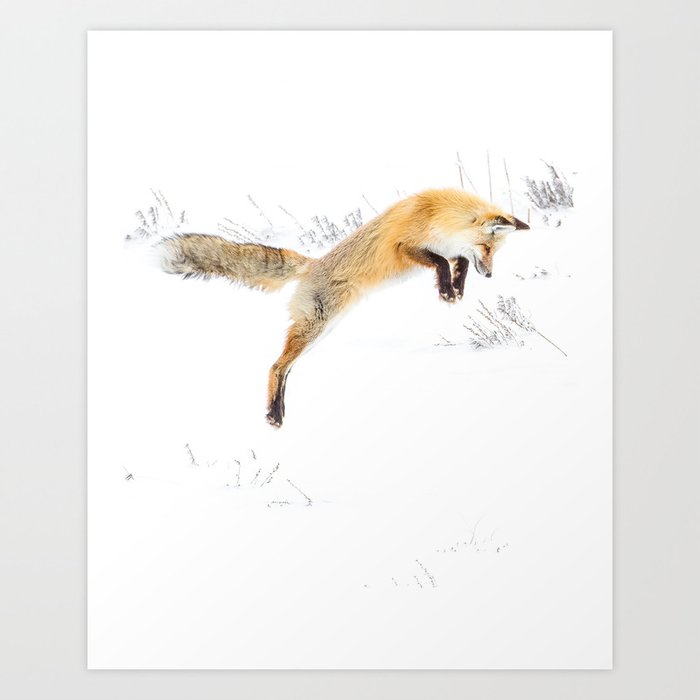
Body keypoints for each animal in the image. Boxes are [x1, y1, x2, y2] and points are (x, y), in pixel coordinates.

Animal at [160, 189, 529, 427]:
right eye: (487, 247)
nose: (490, 274)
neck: (439, 214)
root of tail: (311, 265)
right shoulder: (404, 247)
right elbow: (438, 260)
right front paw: (447, 289)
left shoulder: (450, 248)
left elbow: (458, 262)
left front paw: (456, 288)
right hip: (316, 326)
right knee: (276, 367)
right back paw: (274, 414)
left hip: (322, 331)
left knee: (286, 368)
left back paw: (278, 411)